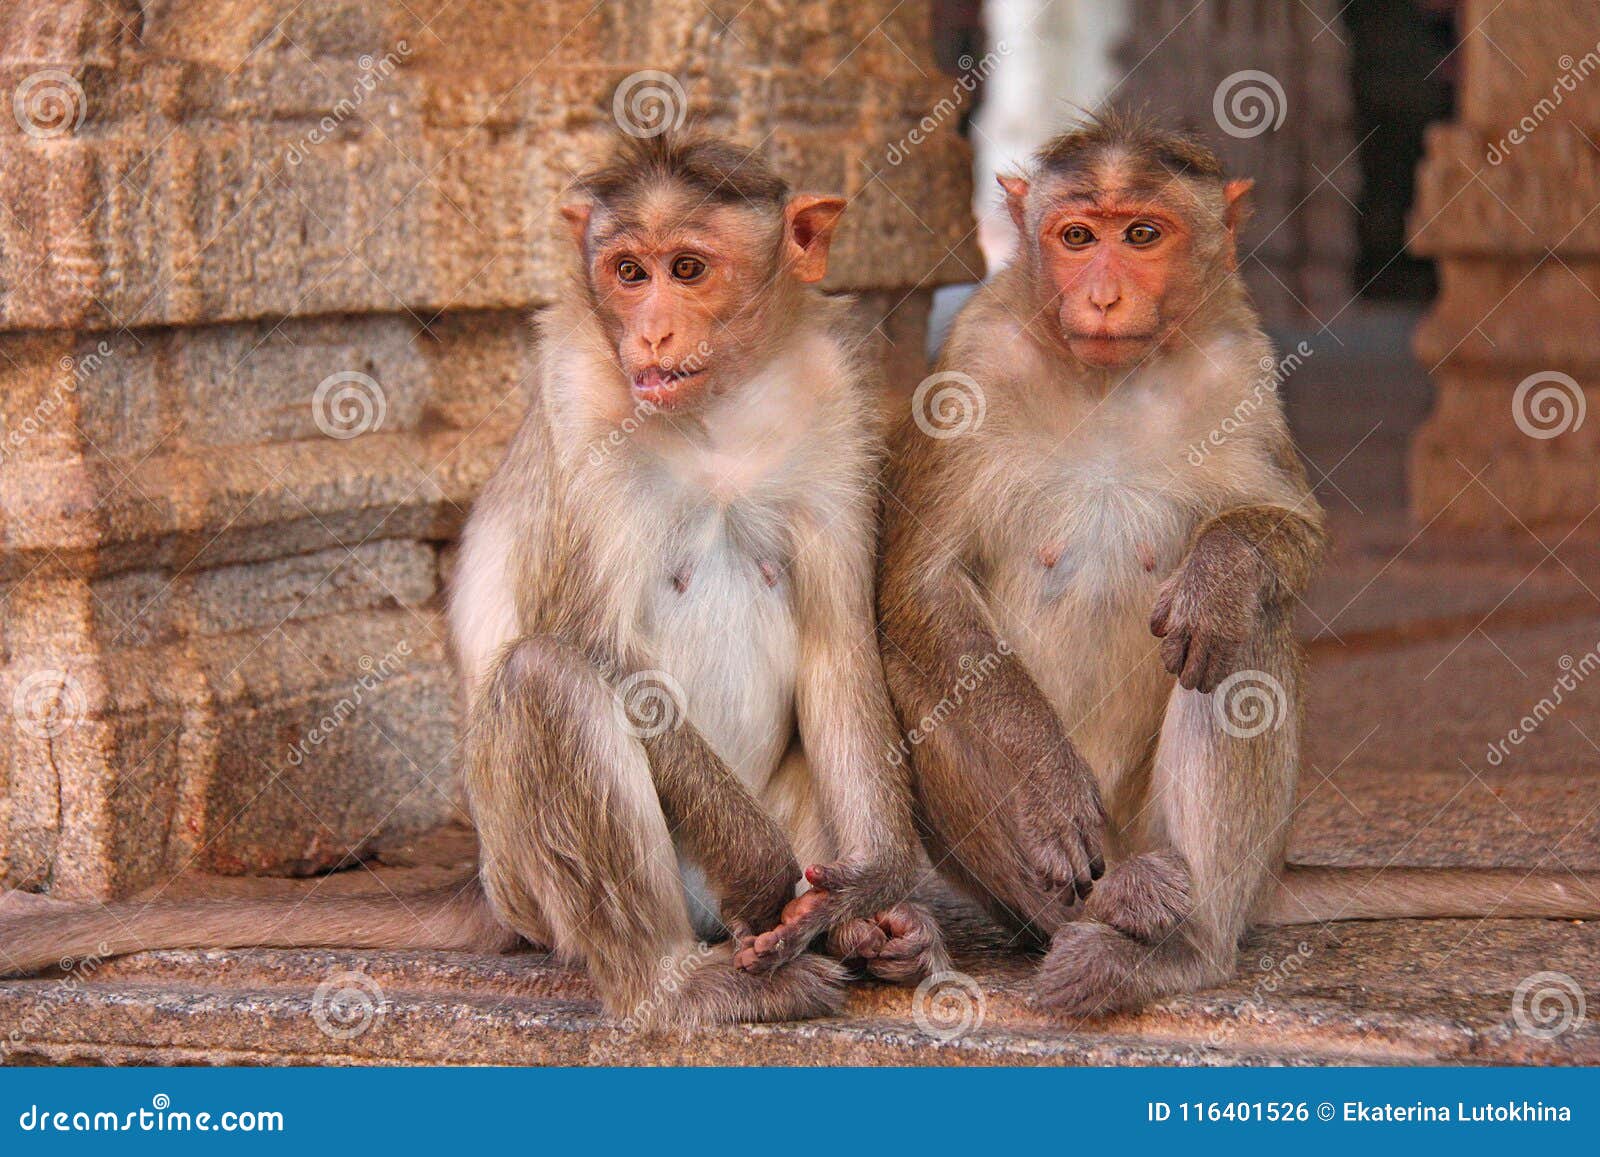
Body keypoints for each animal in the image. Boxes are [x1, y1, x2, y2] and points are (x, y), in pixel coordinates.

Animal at [0, 132, 945, 1029]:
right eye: (628, 273)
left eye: (688, 269)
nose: (650, 335)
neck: (715, 418)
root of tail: (484, 883)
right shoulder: (579, 395)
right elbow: (594, 643)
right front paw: (765, 872)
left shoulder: (837, 405)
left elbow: (840, 645)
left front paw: (872, 892)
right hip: (536, 886)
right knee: (545, 679)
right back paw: (673, 989)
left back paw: (867, 934)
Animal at [877, 111, 1600, 1019]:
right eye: (1077, 237)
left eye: (1142, 235)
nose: (1102, 297)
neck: (1107, 376)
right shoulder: (974, 356)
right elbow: (920, 582)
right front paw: (1041, 780)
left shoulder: (1242, 357)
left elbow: (1291, 533)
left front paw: (1218, 573)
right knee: (917, 677)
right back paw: (1084, 911)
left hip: (1179, 837)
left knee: (1241, 646)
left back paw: (1174, 947)